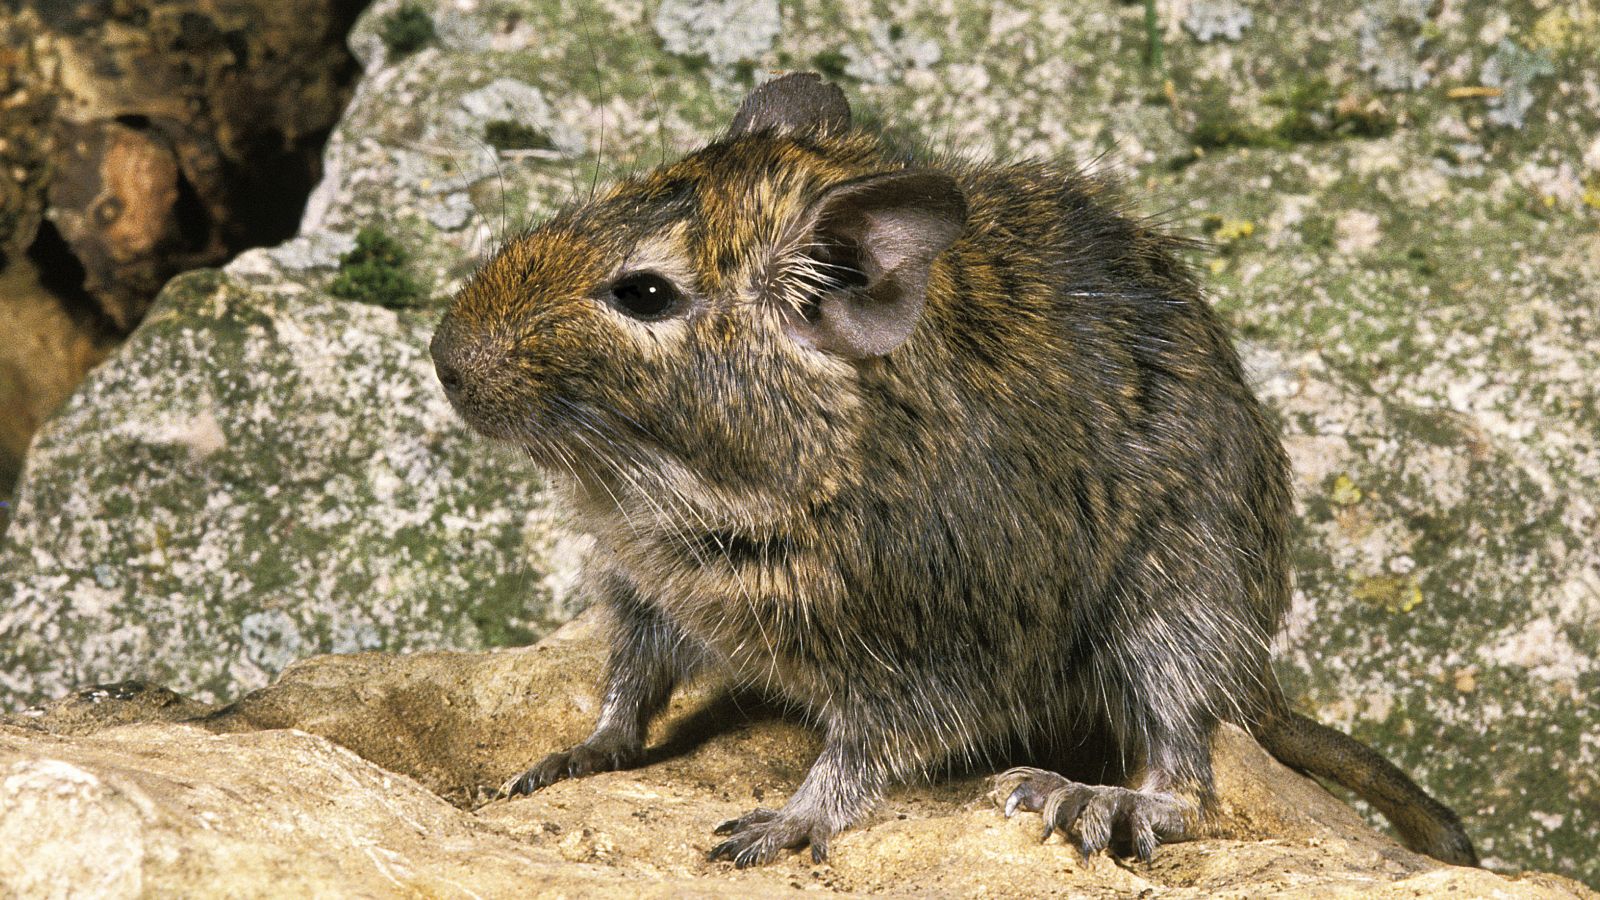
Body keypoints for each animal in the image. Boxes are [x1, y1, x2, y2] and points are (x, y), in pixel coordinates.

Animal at [430, 72, 1476, 868]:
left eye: (644, 294)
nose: (443, 356)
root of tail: (1262, 679)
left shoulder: (933, 642)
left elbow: (861, 757)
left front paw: (781, 824)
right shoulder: (643, 591)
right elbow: (628, 687)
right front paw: (570, 756)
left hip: (1175, 606)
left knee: (1192, 768)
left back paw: (1095, 797)